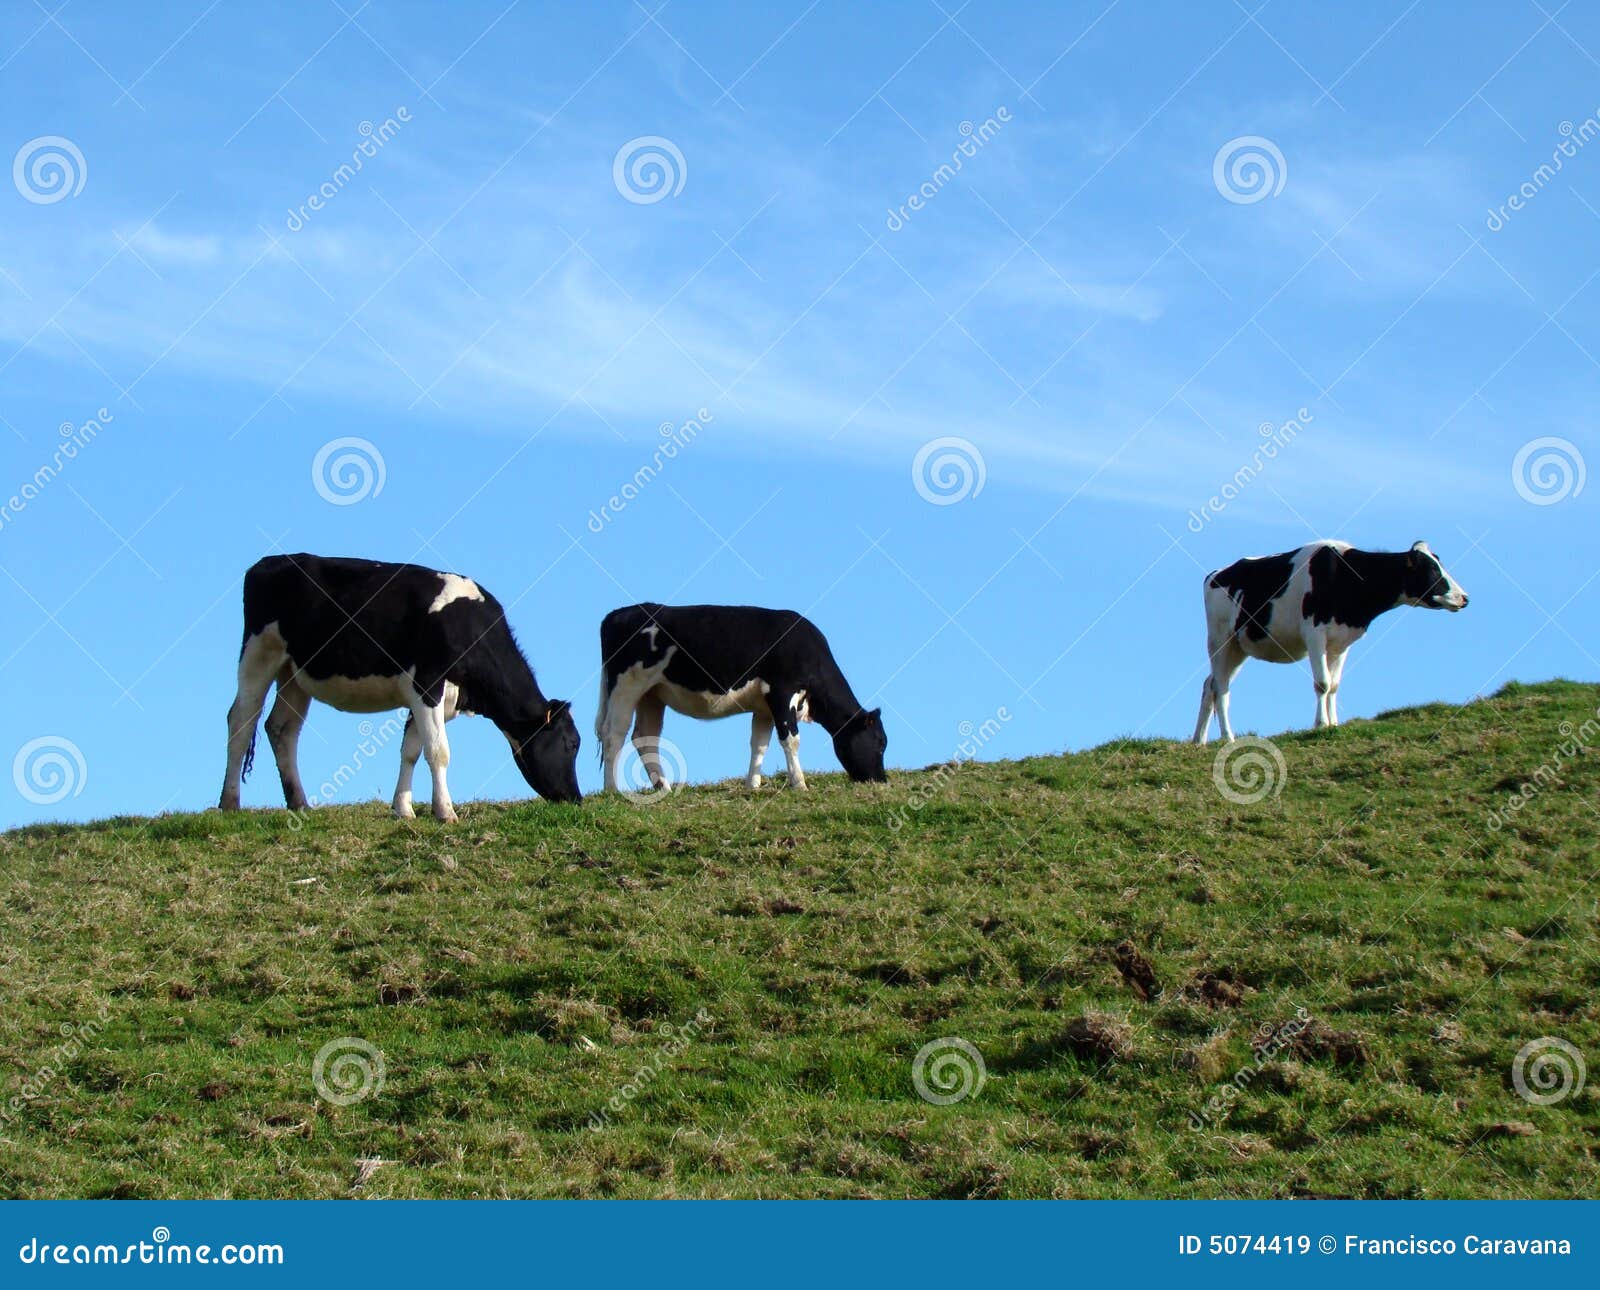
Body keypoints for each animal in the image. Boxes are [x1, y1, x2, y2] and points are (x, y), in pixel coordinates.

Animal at [219, 554, 581, 821]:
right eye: (570, 744)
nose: (575, 799)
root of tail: (269, 562)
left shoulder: (434, 698)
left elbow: (411, 750)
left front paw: (404, 809)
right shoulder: (427, 684)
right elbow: (438, 751)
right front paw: (446, 812)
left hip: (294, 673)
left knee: (282, 728)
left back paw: (299, 802)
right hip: (258, 654)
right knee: (241, 721)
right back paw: (229, 803)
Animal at [597, 603, 888, 793]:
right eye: (880, 742)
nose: (882, 781)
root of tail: (618, 613)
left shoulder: (764, 707)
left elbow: (759, 744)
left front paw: (752, 786)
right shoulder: (782, 692)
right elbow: (790, 740)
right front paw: (800, 784)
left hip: (652, 694)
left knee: (645, 737)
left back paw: (664, 788)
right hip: (626, 685)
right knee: (614, 734)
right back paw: (613, 791)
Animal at [1193, 540, 1468, 744]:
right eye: (1432, 571)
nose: (1464, 597)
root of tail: (1216, 574)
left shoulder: (1341, 643)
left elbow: (1334, 685)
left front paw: (1333, 723)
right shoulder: (1315, 634)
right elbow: (1322, 683)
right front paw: (1321, 724)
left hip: (1239, 648)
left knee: (1211, 684)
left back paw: (1199, 741)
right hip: (1220, 640)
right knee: (1221, 688)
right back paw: (1228, 737)